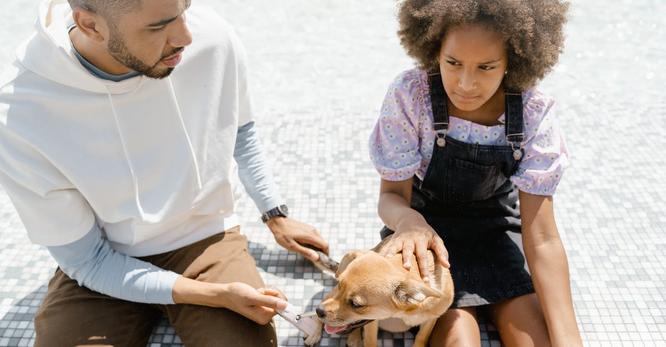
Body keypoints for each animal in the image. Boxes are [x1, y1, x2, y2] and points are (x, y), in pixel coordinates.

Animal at [308, 238, 454, 347]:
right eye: (339, 285)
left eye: (356, 305)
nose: (319, 311)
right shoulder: (372, 324)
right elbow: (370, 342)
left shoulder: (430, 321)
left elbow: (421, 337)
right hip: (328, 298)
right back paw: (314, 334)